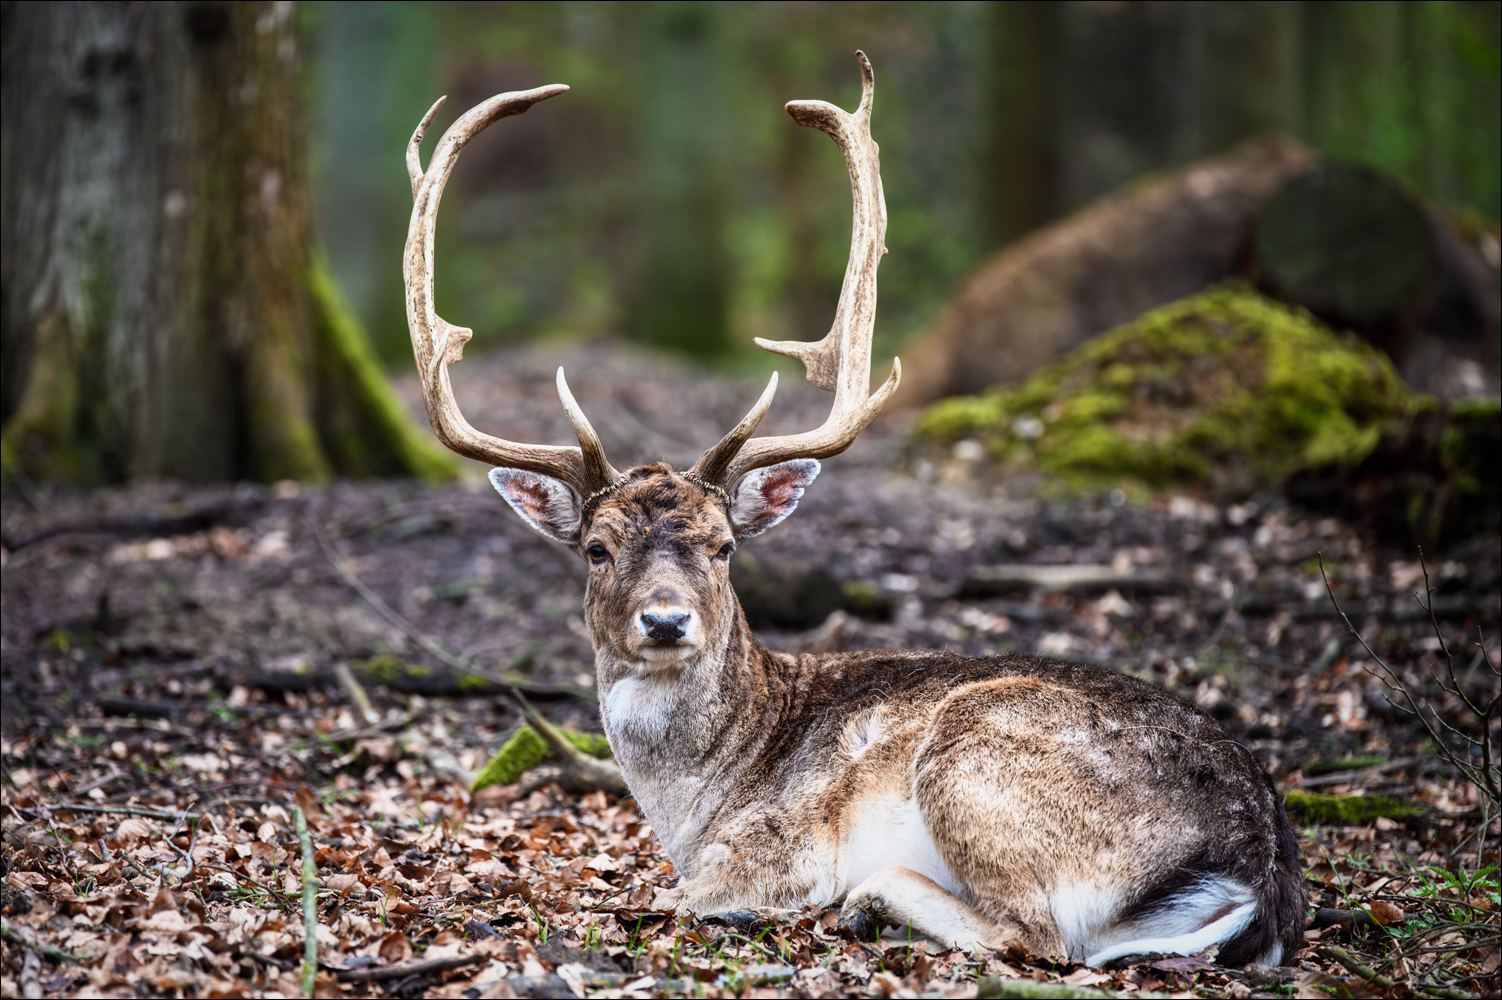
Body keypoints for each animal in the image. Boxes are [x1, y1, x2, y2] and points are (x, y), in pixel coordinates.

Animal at [402, 53, 1306, 968]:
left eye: (724, 546)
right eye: (596, 547)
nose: (664, 621)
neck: (698, 802)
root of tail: (1258, 872)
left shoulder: (772, 843)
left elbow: (672, 898)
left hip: (975, 752)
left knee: (1040, 937)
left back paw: (866, 900)